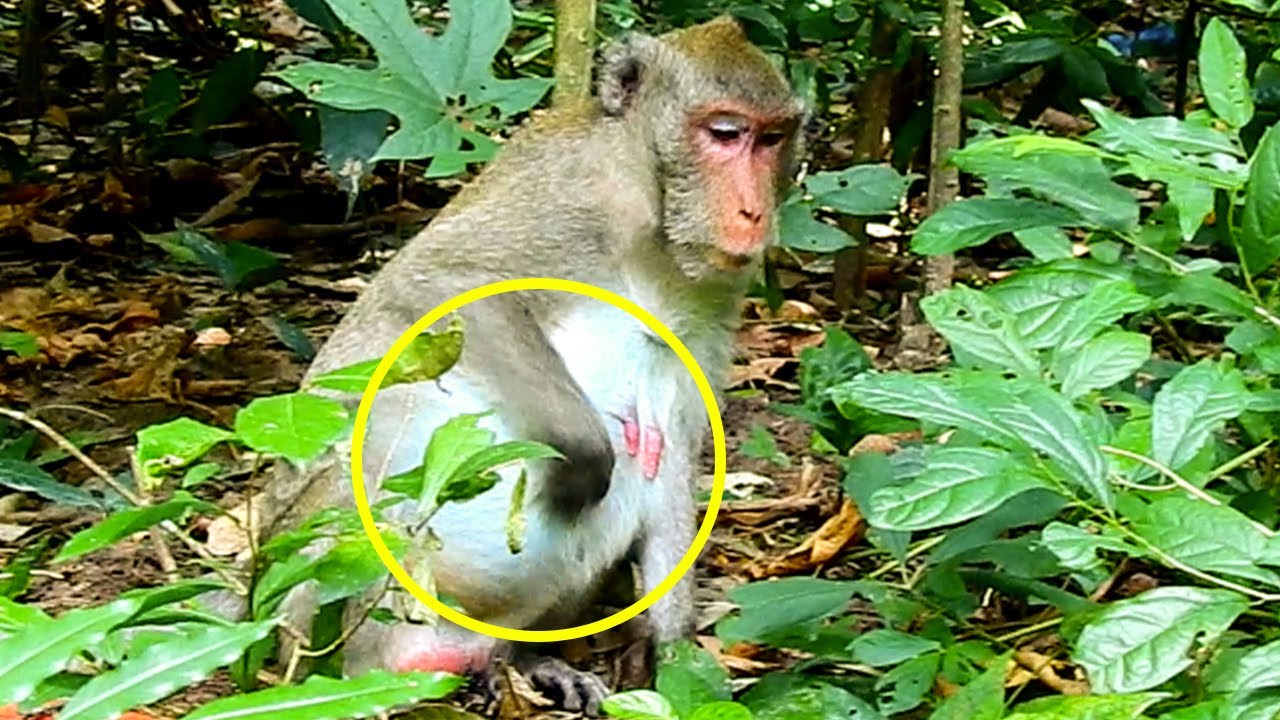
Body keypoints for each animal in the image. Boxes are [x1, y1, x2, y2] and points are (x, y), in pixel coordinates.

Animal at [257, 15, 803, 712]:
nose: (753, 213)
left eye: (772, 139)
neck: (650, 213)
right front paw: (586, 462)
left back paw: (525, 664)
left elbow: (677, 436)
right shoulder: (570, 195)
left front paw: (672, 648)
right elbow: (442, 285)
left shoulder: (715, 287)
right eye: (726, 134)